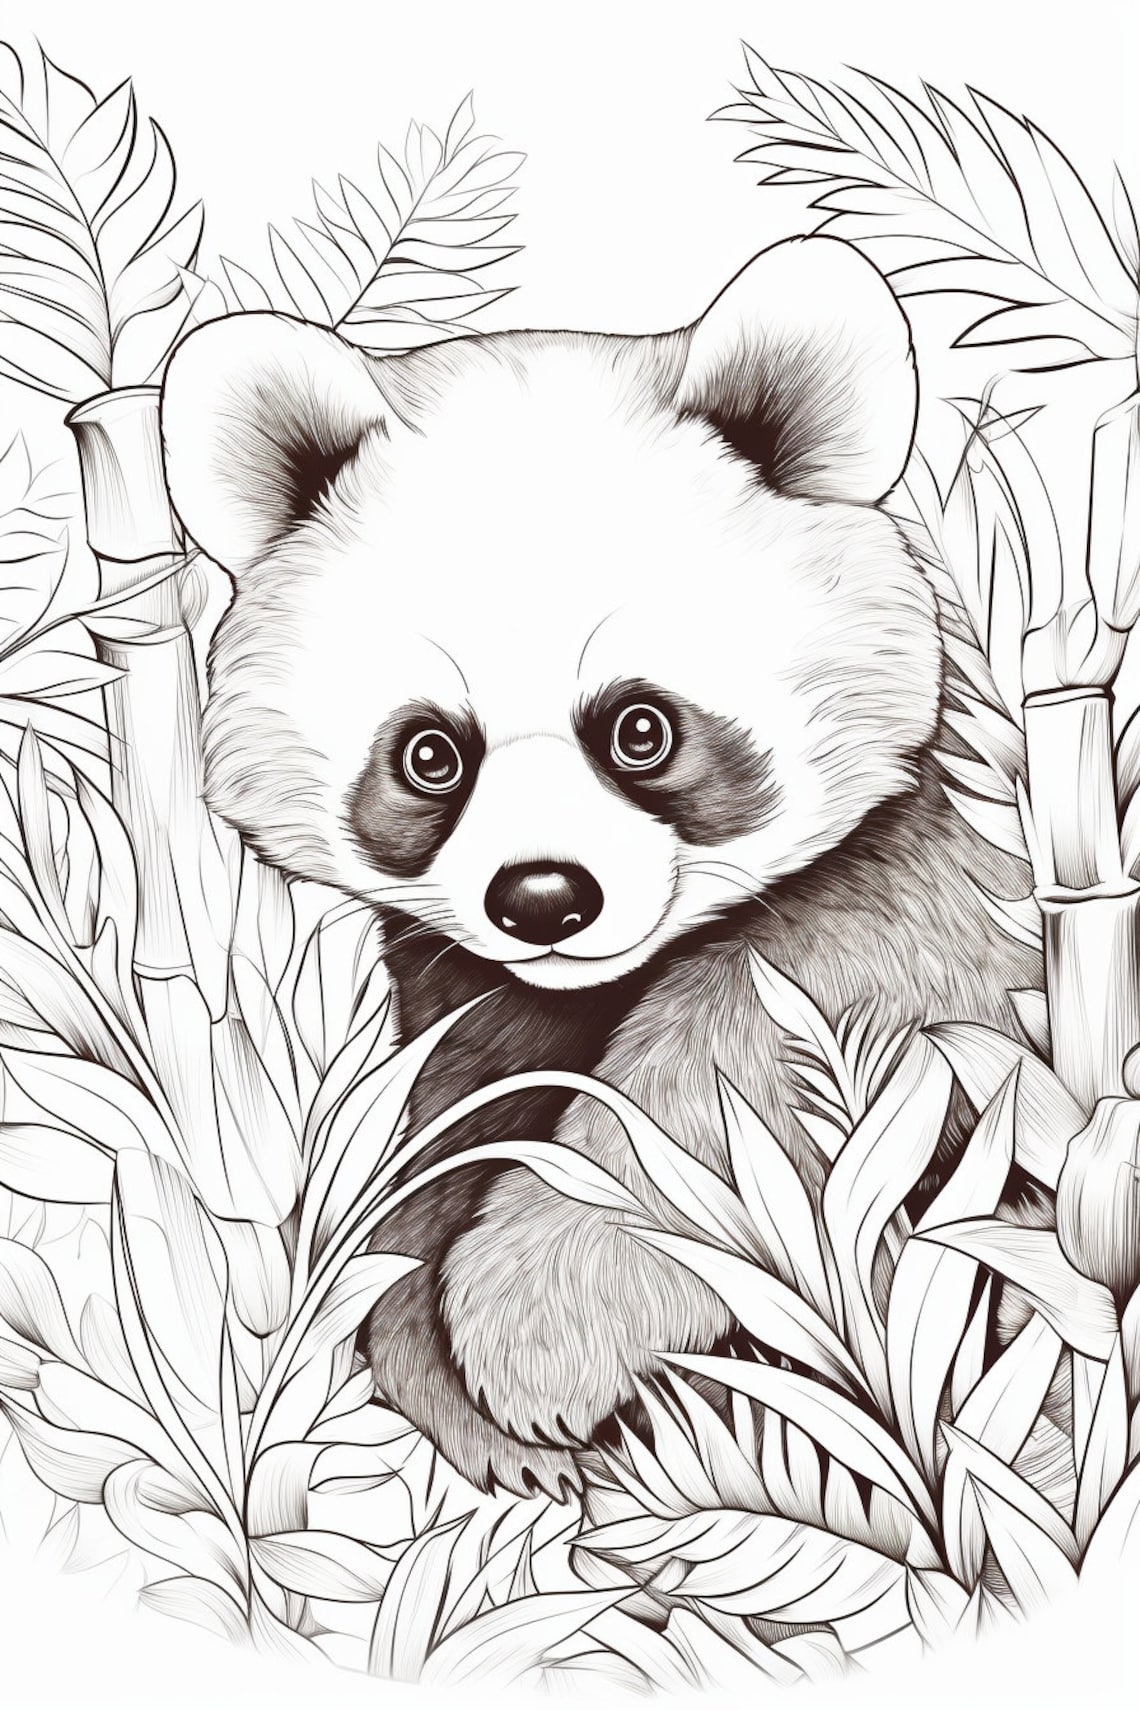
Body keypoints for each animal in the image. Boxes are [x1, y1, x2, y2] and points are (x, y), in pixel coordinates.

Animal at [160, 235, 1039, 1500]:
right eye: (430, 755)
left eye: (641, 729)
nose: (542, 899)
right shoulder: (469, 1003)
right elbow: (449, 1137)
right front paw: (458, 1374)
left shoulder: (940, 880)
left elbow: (749, 1067)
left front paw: (530, 1328)